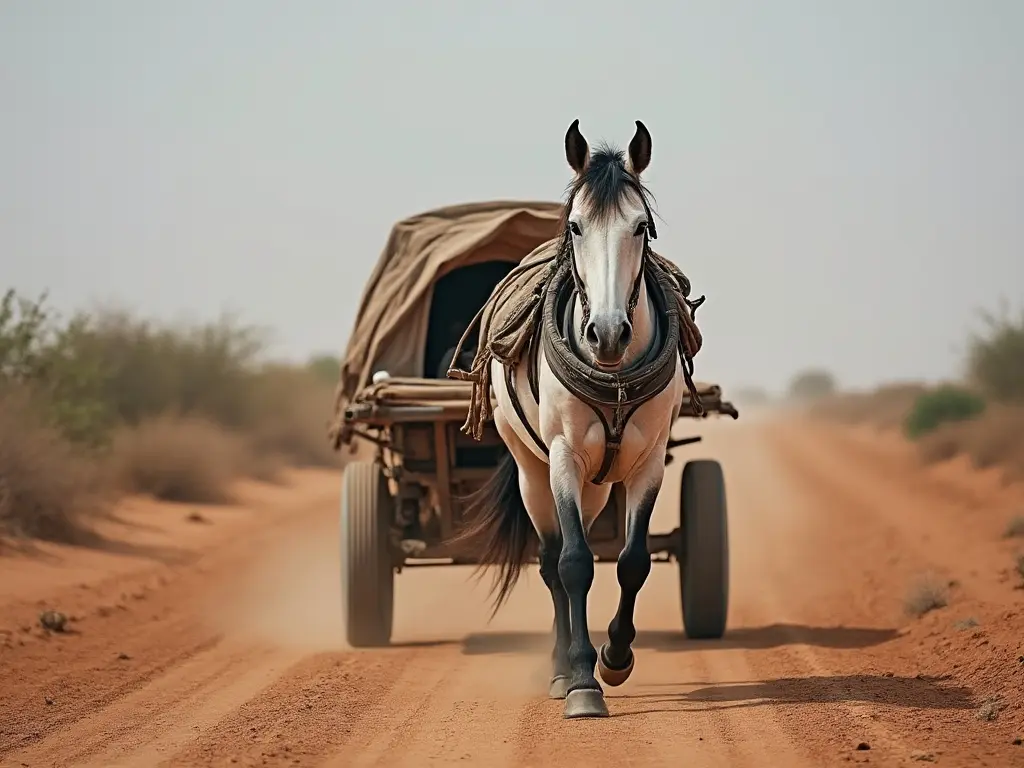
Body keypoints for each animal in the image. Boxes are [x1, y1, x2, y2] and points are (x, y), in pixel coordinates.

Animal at [458, 119, 700, 719]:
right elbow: (574, 566)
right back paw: (560, 667)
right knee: (551, 561)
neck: (613, 375)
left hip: (596, 485)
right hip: (534, 471)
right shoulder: (564, 458)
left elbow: (632, 561)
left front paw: (614, 658)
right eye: (575, 226)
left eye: (642, 227)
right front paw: (583, 682)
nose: (608, 334)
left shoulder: (649, 461)